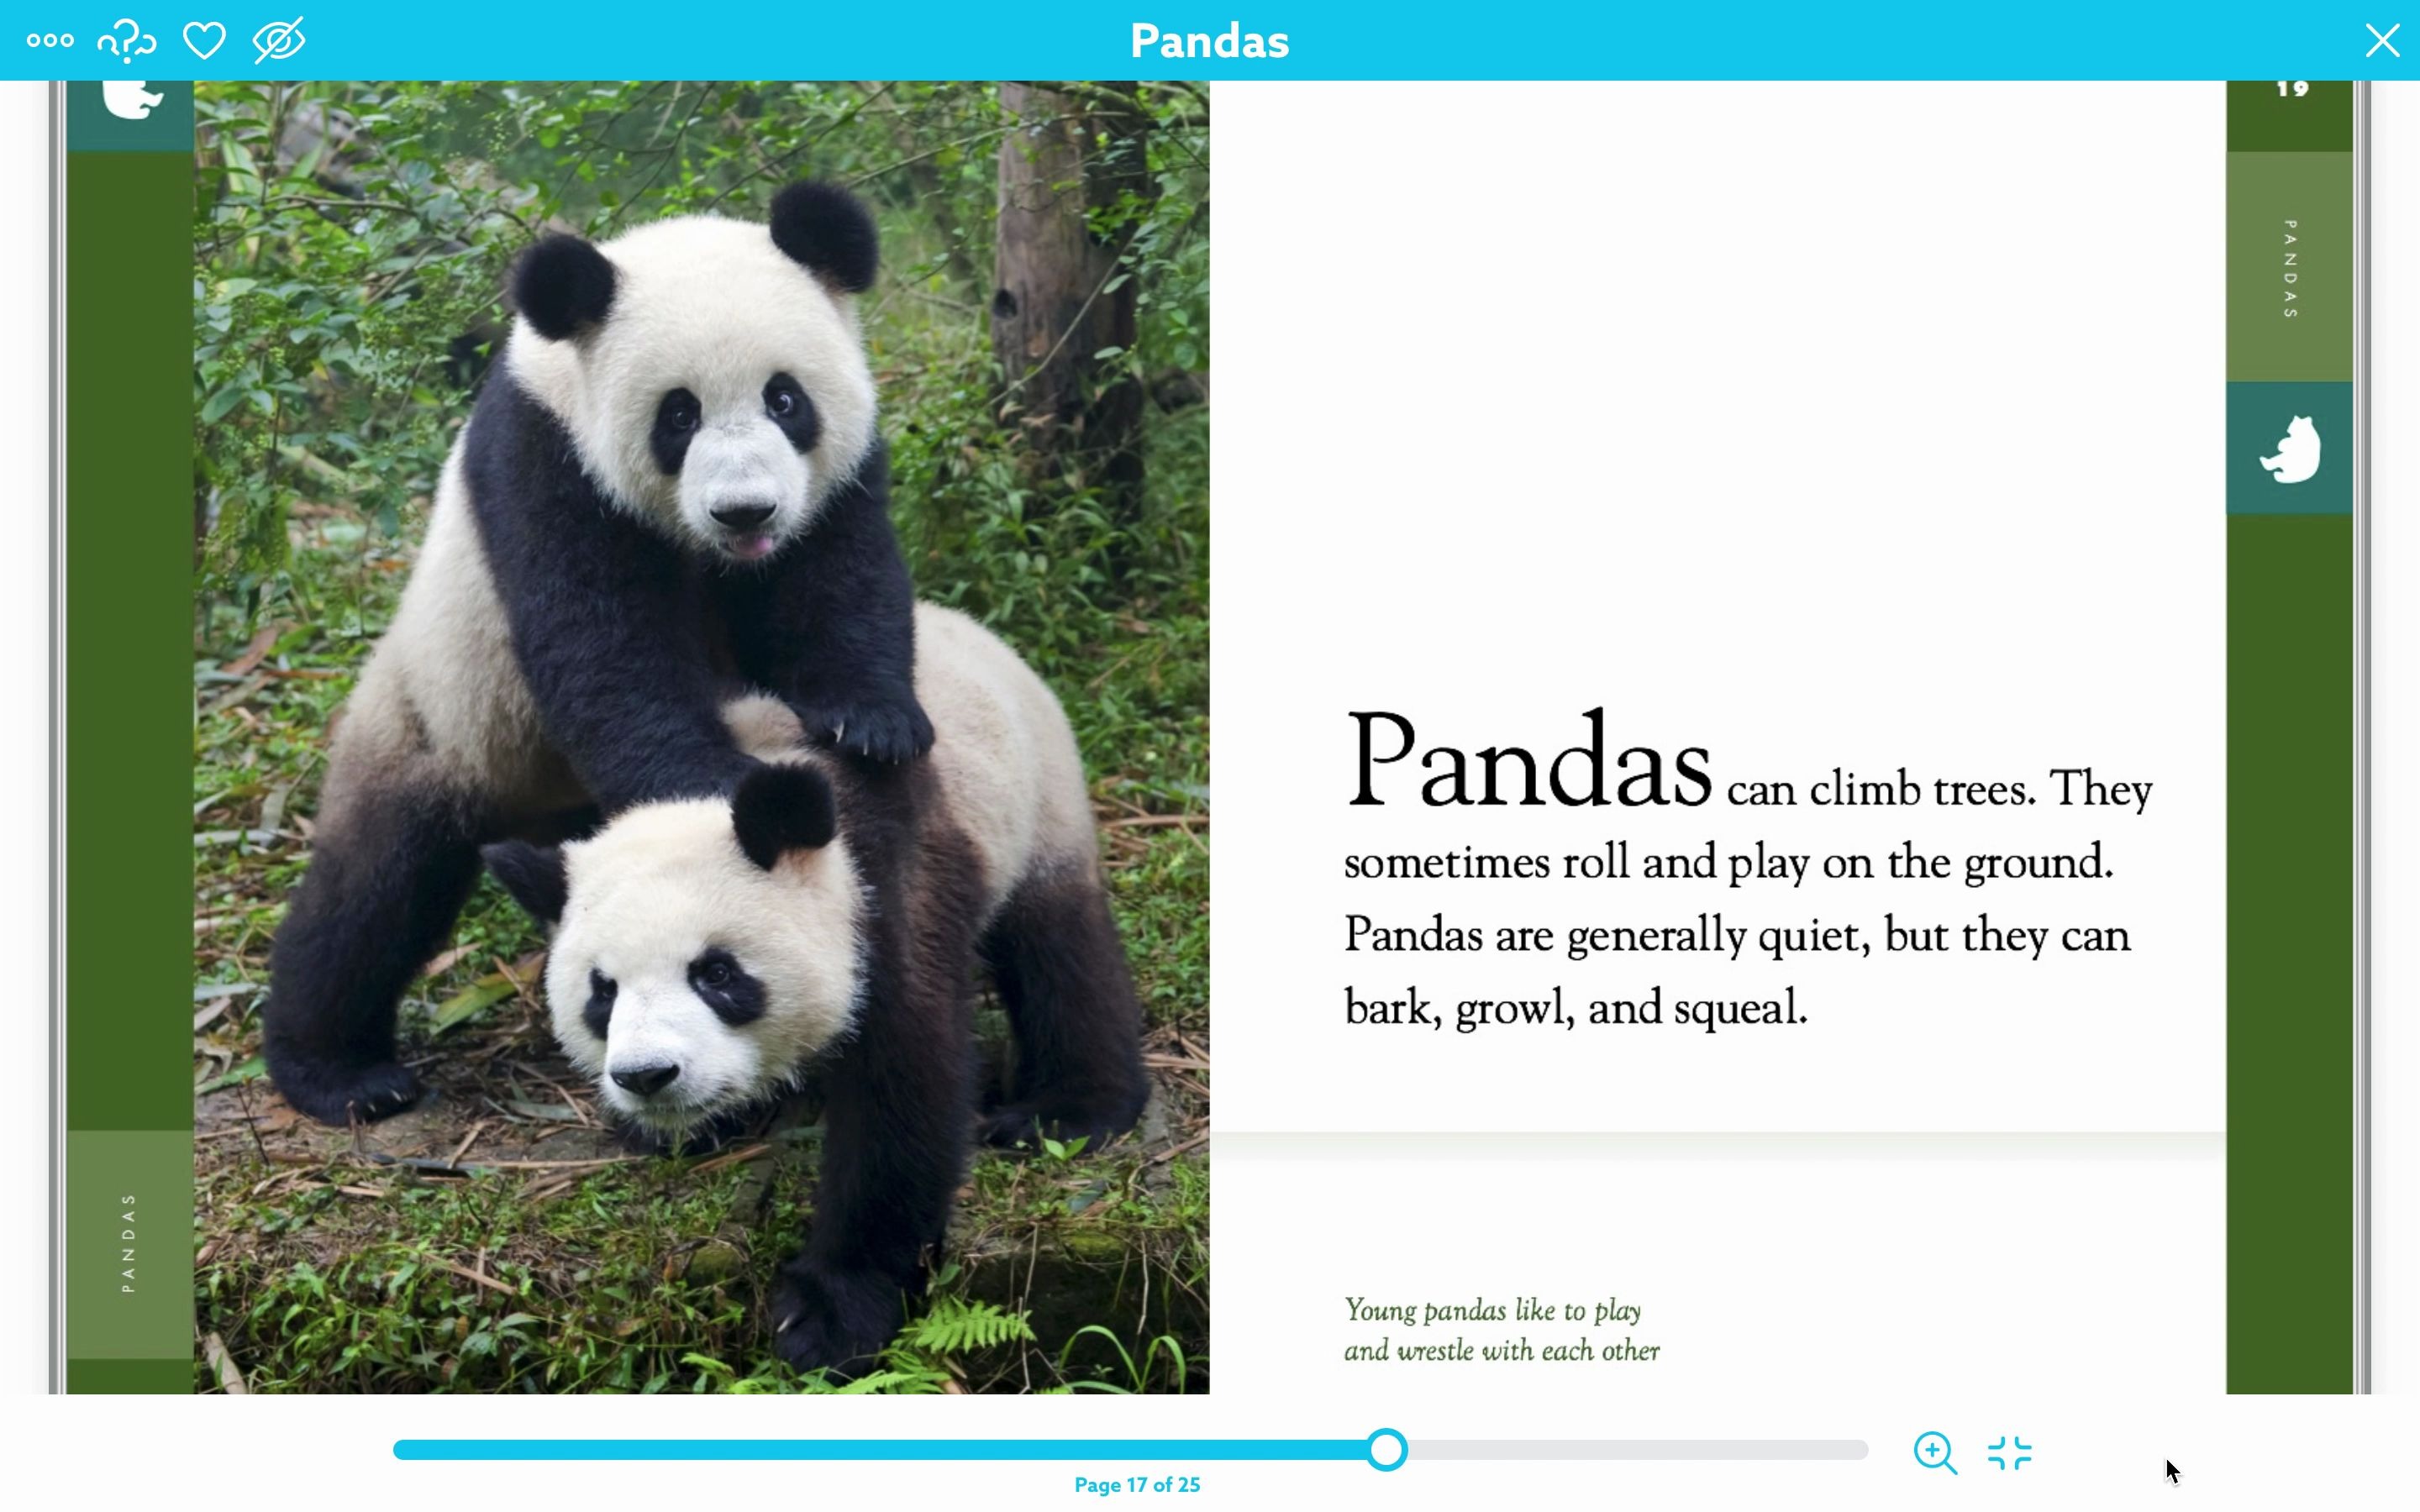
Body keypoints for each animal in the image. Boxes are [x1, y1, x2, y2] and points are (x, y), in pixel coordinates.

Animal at [263, 183, 935, 1128]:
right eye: (678, 414)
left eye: (786, 400)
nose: (746, 511)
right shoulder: (545, 463)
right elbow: (605, 656)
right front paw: (722, 792)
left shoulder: (839, 473)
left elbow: (844, 577)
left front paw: (869, 724)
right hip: (441, 714)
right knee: (372, 891)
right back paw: (337, 1069)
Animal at [481, 603, 1151, 1374]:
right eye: (603, 993)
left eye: (717, 974)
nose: (648, 1076)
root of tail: (954, 619)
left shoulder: (885, 893)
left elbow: (901, 1093)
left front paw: (832, 1313)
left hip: (1035, 798)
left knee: (1060, 951)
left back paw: (1068, 1109)